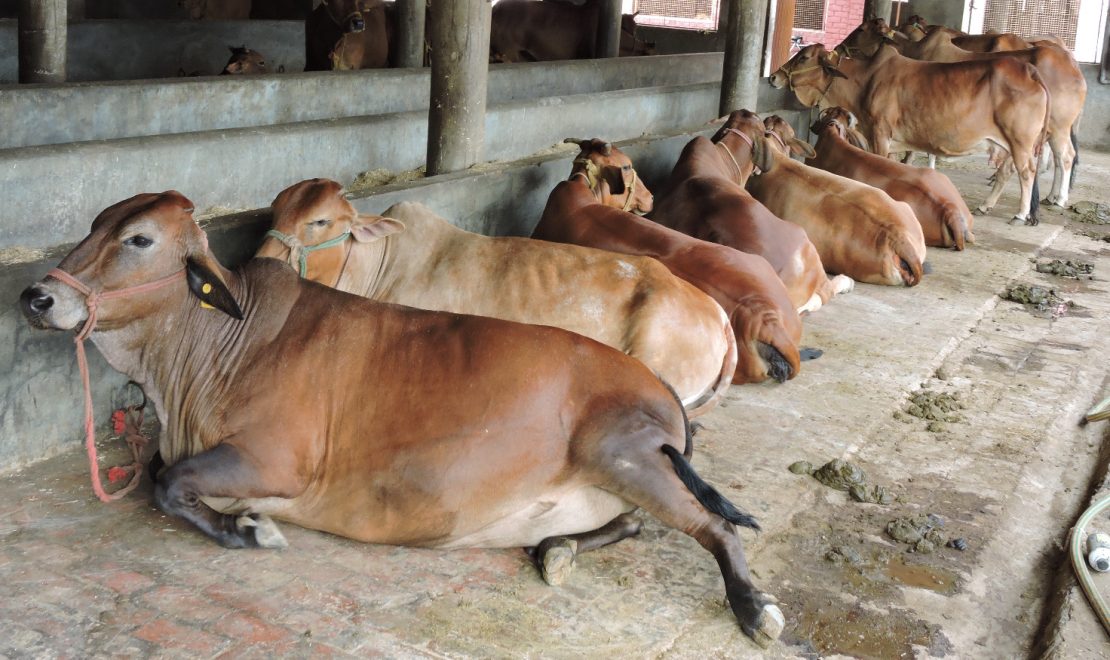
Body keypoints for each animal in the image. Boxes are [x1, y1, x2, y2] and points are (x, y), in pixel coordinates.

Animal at [770, 43, 1050, 225]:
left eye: (804, 57)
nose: (773, 77)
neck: (864, 80)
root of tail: (1030, 71)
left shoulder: (880, 132)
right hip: (1007, 144)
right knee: (1007, 171)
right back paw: (986, 205)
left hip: (1020, 141)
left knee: (1027, 173)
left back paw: (1020, 214)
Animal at [845, 18, 1086, 208]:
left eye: (861, 29)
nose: (841, 45)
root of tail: (1075, 69)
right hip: (1053, 130)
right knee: (1059, 157)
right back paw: (1050, 197)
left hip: (1056, 128)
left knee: (1064, 157)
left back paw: (1056, 199)